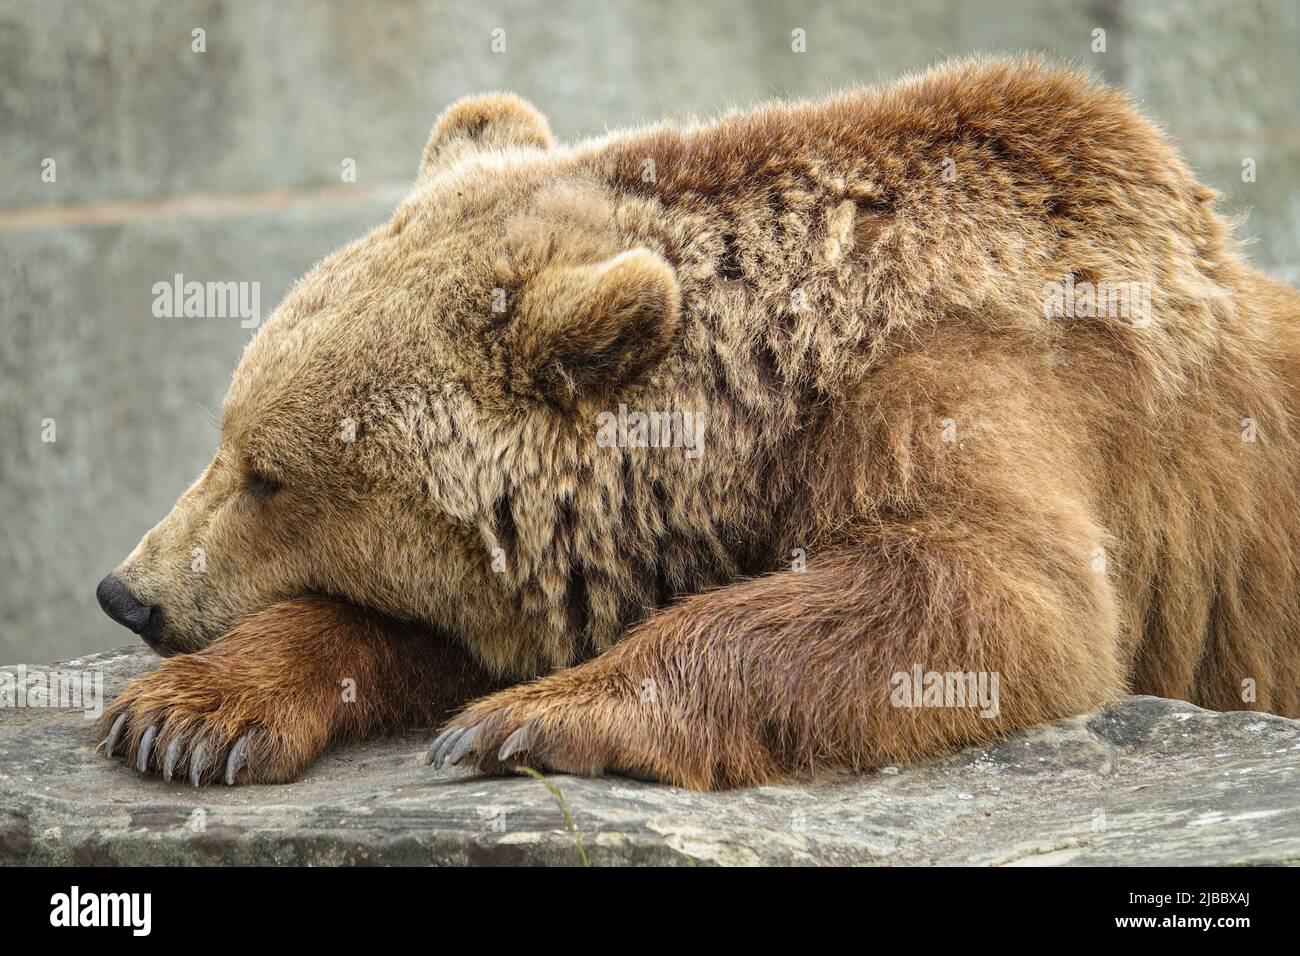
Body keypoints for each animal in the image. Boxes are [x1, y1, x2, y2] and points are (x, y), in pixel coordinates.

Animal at [94, 56, 1300, 790]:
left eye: (269, 475)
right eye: (227, 438)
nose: (130, 592)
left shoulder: (966, 389)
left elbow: (992, 596)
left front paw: (529, 716)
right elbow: (431, 621)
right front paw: (187, 718)